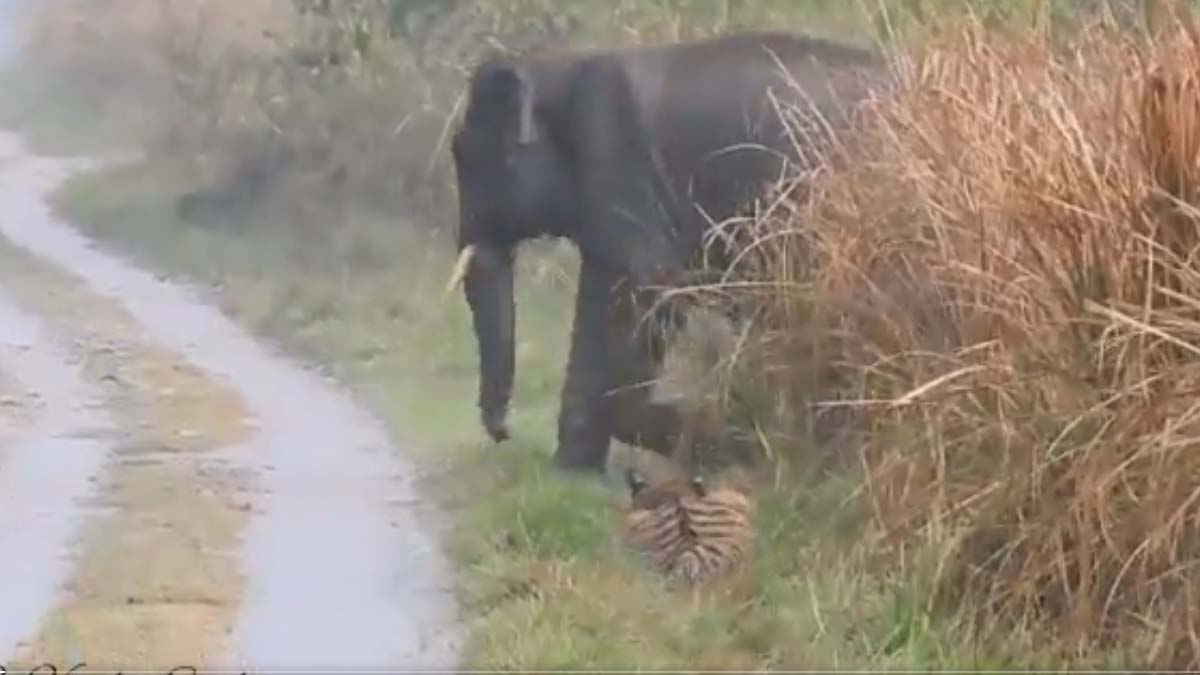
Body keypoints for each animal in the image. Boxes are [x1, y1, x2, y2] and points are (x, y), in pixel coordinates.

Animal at [448, 30, 884, 473]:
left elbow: (645, 296)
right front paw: (574, 471)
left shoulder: (617, 155)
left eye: (470, 156)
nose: (504, 431)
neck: (555, 64)